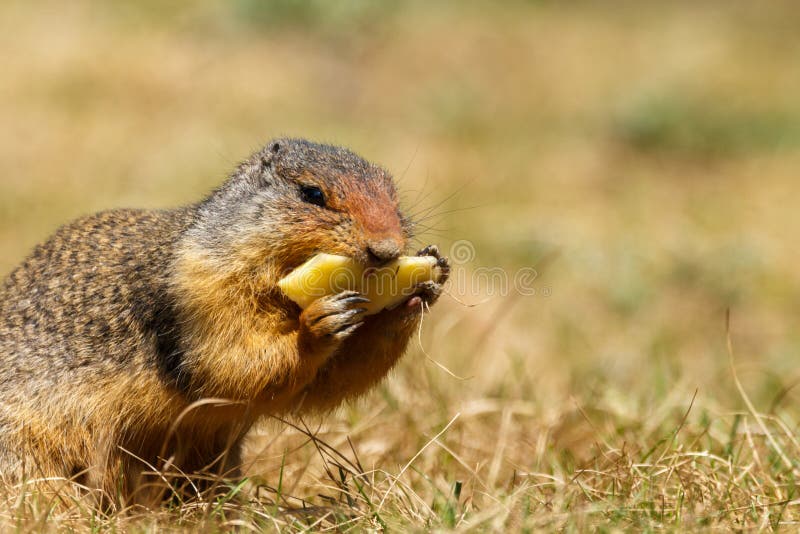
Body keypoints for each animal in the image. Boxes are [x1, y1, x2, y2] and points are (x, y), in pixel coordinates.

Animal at [0, 138, 450, 504]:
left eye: (394, 198)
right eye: (312, 193)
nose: (386, 250)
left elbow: (327, 381)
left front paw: (424, 284)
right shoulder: (202, 289)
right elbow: (228, 362)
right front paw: (316, 325)